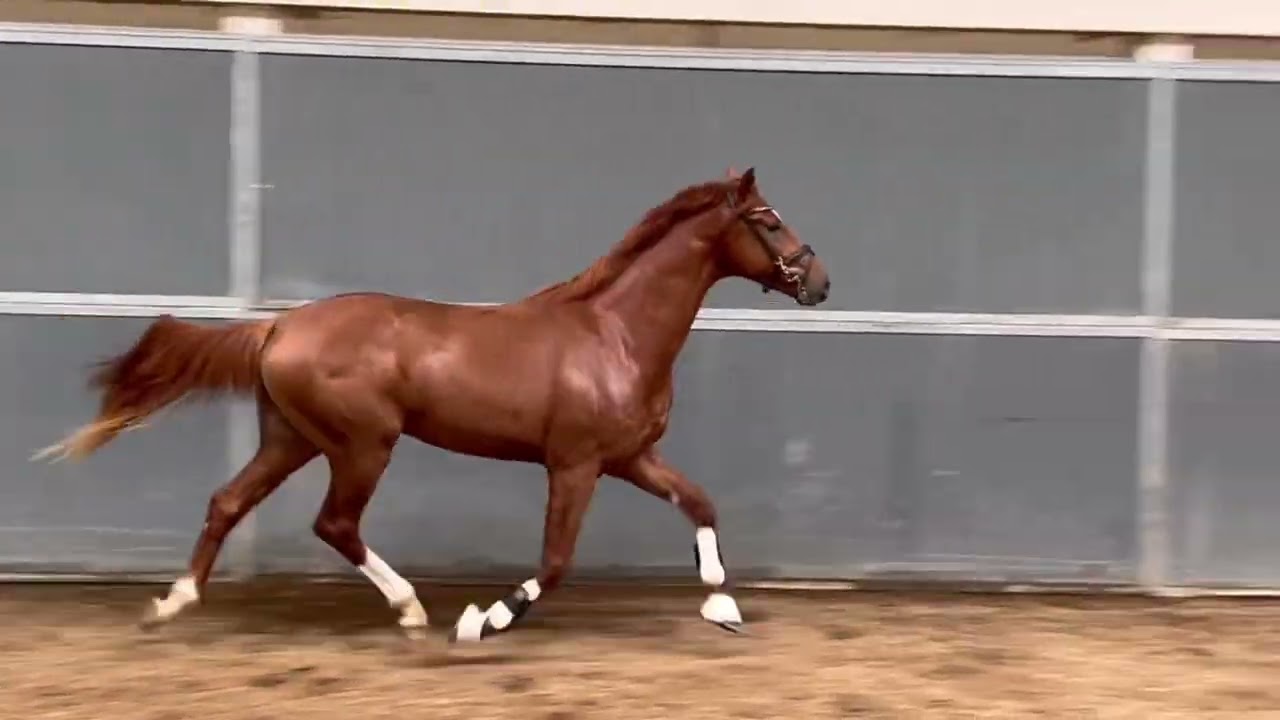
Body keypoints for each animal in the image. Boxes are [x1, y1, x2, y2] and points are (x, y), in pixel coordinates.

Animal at [33, 167, 830, 643]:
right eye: (767, 218)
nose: (819, 280)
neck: (616, 334)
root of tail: (279, 327)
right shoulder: (574, 464)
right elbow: (557, 559)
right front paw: (484, 618)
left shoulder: (630, 456)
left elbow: (699, 502)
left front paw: (722, 604)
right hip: (362, 444)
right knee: (335, 523)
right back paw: (412, 607)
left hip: (291, 438)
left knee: (228, 502)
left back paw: (175, 601)